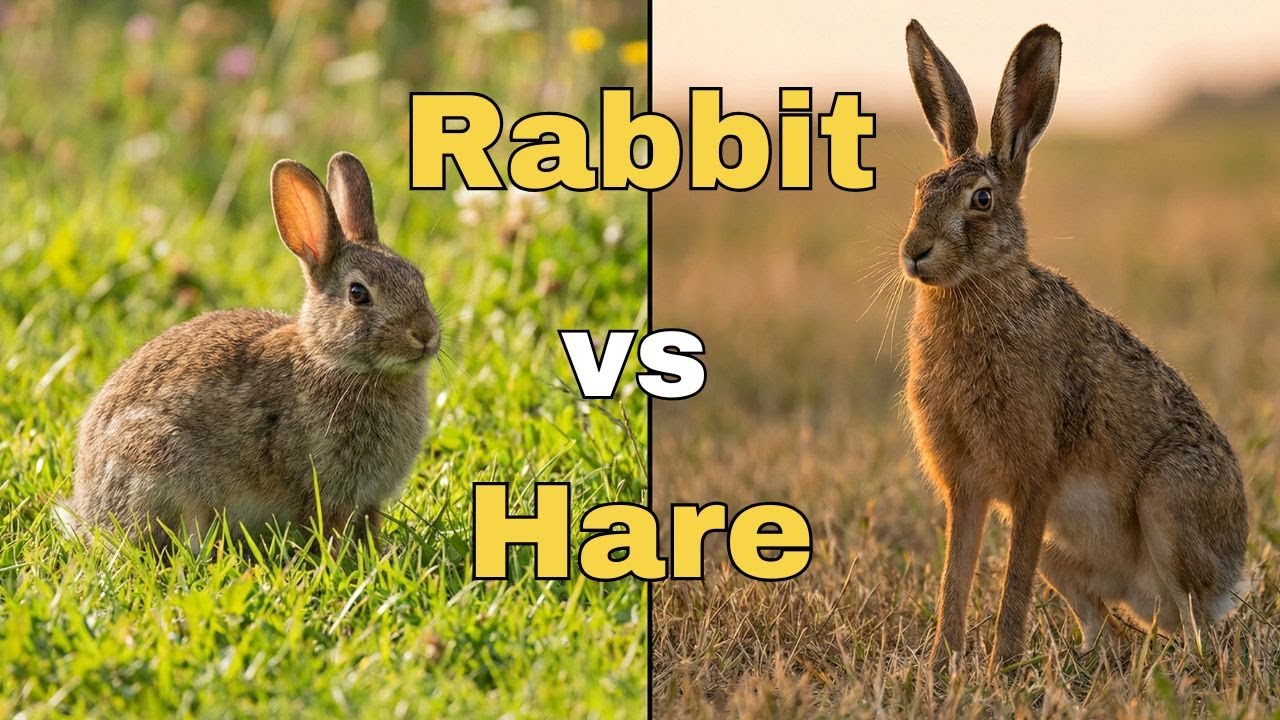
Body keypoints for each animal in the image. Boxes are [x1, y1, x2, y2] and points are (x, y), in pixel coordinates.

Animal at [59, 151, 441, 552]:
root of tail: (91, 514)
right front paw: (338, 559)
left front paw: (377, 555)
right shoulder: (325, 488)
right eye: (358, 294)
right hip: (164, 469)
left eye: (418, 279)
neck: (333, 360)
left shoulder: (369, 499)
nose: (425, 335)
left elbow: (370, 527)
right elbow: (329, 529)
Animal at [899, 20, 1247, 670]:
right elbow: (955, 576)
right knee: (1107, 622)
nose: (914, 252)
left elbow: (1011, 583)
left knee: (1197, 622)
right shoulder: (966, 487)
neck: (981, 288)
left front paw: (1000, 666)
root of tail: (1232, 575)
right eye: (919, 190)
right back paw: (1094, 659)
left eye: (981, 200)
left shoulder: (1033, 480)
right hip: (1065, 558)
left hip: (1170, 498)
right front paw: (943, 662)